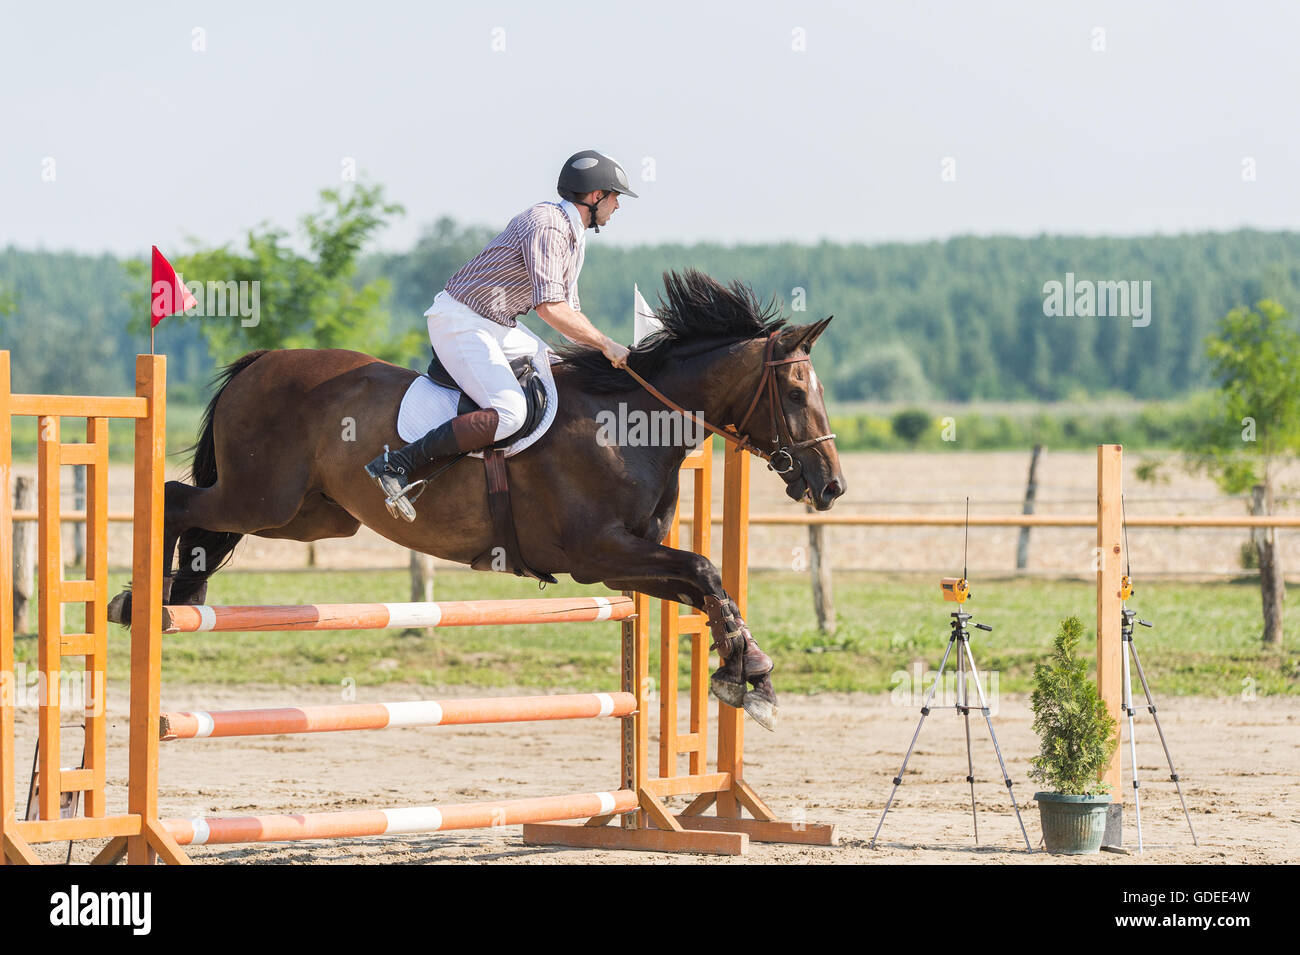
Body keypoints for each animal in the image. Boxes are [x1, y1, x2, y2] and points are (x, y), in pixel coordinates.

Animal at [112, 269, 845, 729]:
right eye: (796, 393)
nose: (832, 484)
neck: (629, 422)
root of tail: (261, 360)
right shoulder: (599, 555)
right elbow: (704, 569)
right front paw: (749, 671)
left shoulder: (628, 563)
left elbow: (707, 584)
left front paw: (747, 670)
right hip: (260, 498)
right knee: (177, 500)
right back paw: (146, 601)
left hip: (309, 517)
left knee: (204, 521)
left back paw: (173, 597)